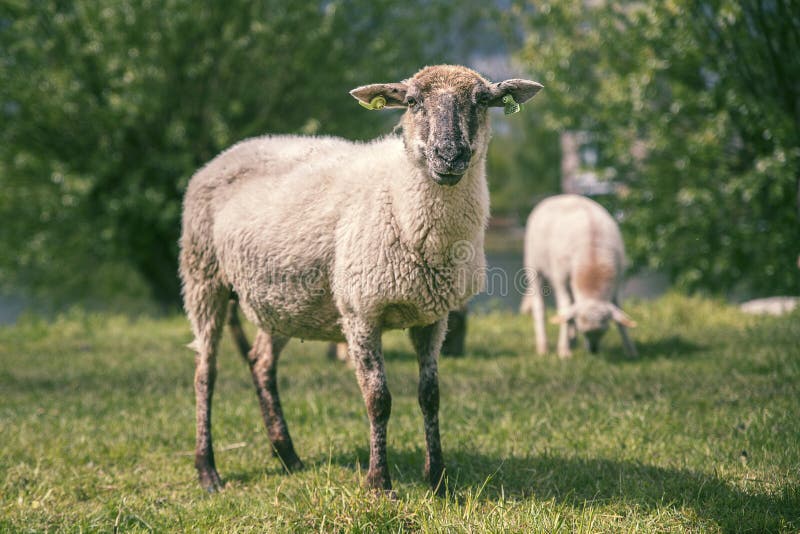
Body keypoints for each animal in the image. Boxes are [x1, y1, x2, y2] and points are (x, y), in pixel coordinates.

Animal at [179, 65, 543, 494]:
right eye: (412, 101)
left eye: (483, 101)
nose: (450, 155)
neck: (401, 201)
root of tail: (226, 154)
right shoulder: (360, 312)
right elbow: (378, 399)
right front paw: (379, 482)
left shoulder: (433, 316)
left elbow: (430, 396)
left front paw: (437, 478)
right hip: (203, 275)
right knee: (205, 371)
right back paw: (207, 471)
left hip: (282, 299)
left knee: (261, 362)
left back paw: (287, 456)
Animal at [520, 194, 637, 358]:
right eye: (585, 331)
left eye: (604, 331)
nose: (594, 351)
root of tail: (558, 196)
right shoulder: (561, 277)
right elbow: (564, 309)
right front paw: (564, 351)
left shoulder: (618, 280)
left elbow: (619, 314)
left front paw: (631, 350)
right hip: (534, 266)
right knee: (540, 308)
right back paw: (543, 347)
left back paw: (572, 340)